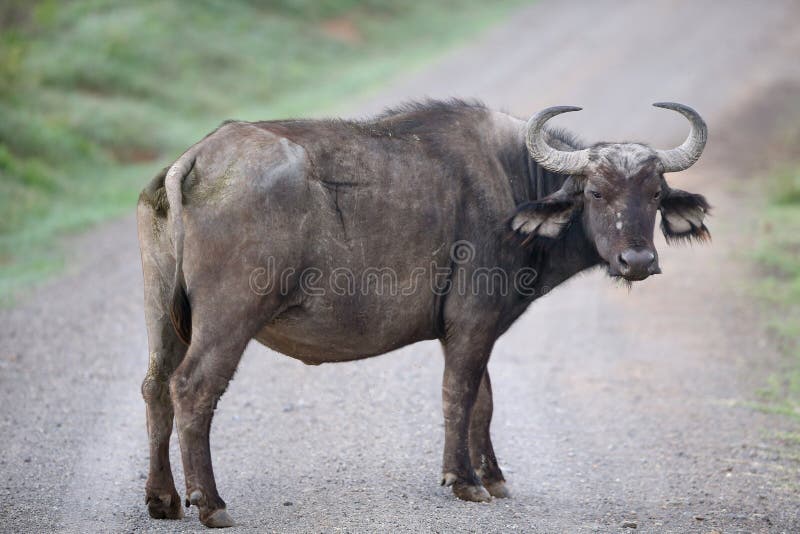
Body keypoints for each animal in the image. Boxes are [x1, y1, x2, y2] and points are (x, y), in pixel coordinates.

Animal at [137, 100, 709, 527]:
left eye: (655, 193)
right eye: (595, 191)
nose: (638, 261)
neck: (512, 184)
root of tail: (197, 159)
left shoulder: (472, 331)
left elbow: (484, 401)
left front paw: (493, 476)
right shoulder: (472, 324)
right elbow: (460, 395)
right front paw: (465, 481)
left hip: (162, 317)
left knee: (155, 388)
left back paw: (163, 499)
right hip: (228, 320)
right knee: (192, 390)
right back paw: (210, 504)